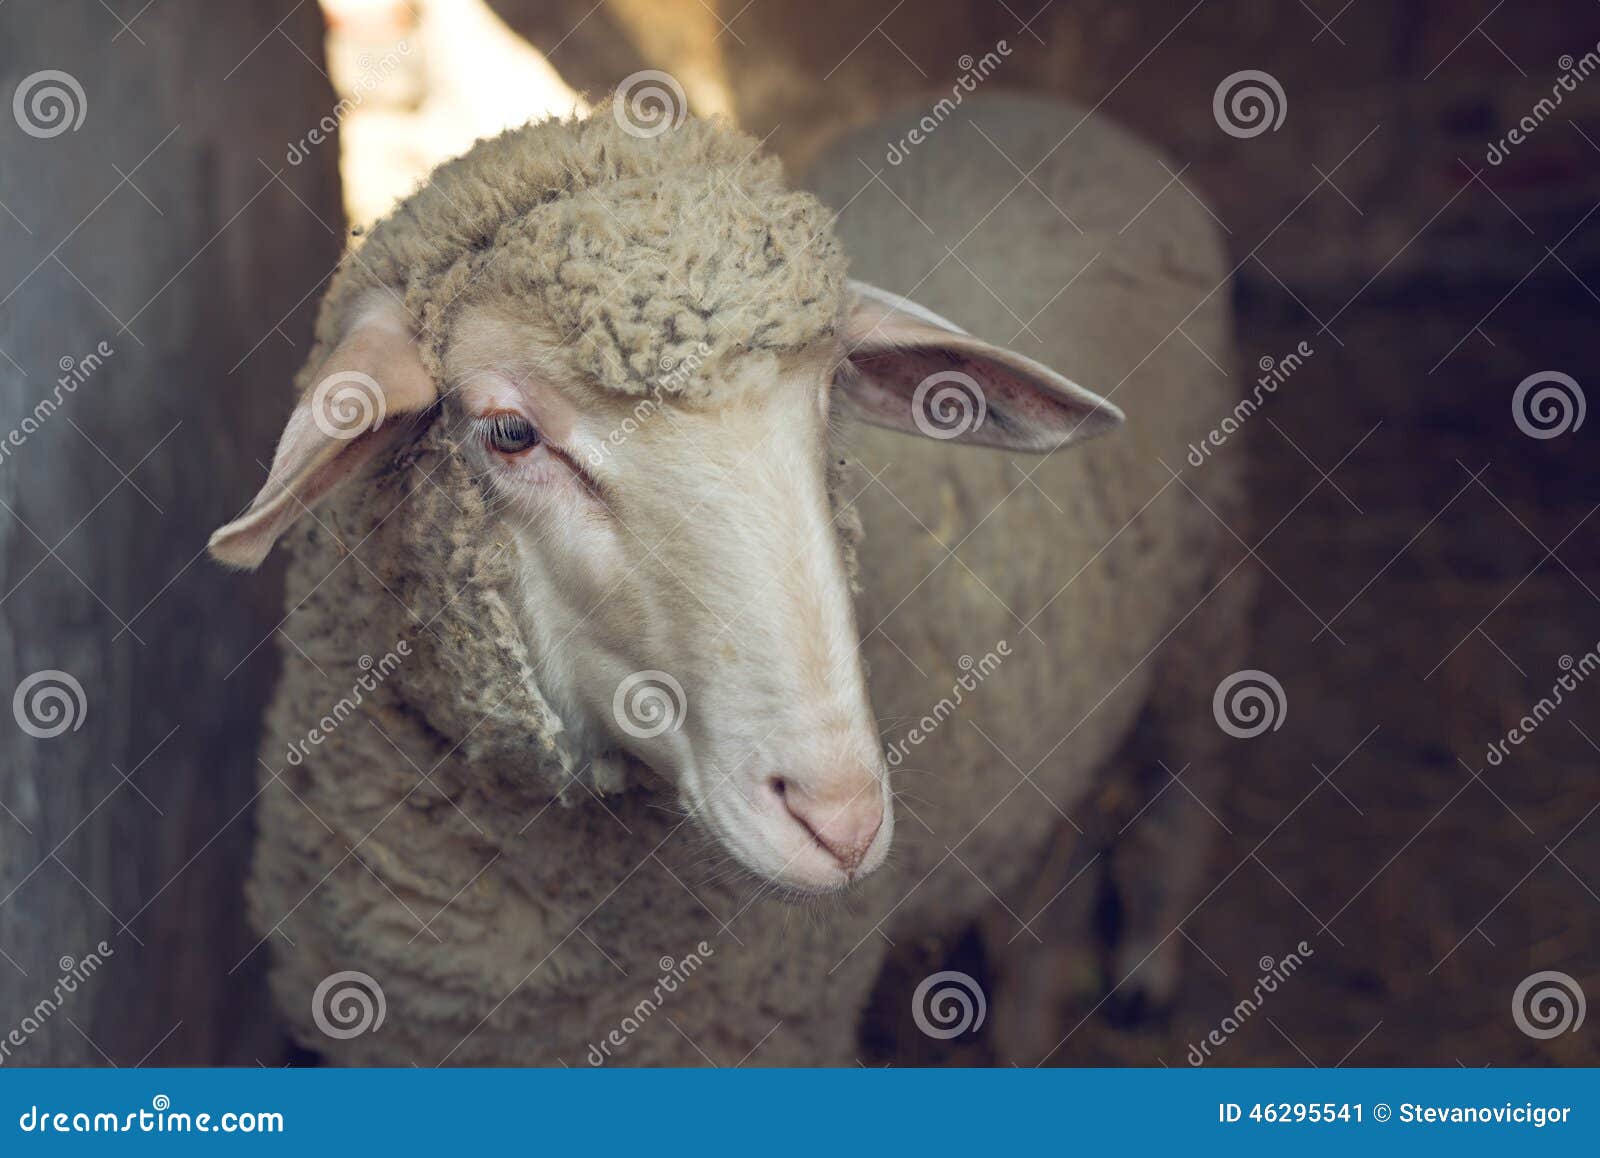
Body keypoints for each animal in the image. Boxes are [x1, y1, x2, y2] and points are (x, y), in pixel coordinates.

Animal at [208, 91, 1246, 1066]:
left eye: (830, 399)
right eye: (509, 432)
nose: (841, 821)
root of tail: (1058, 113)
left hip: (1202, 612)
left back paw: (1142, 967)